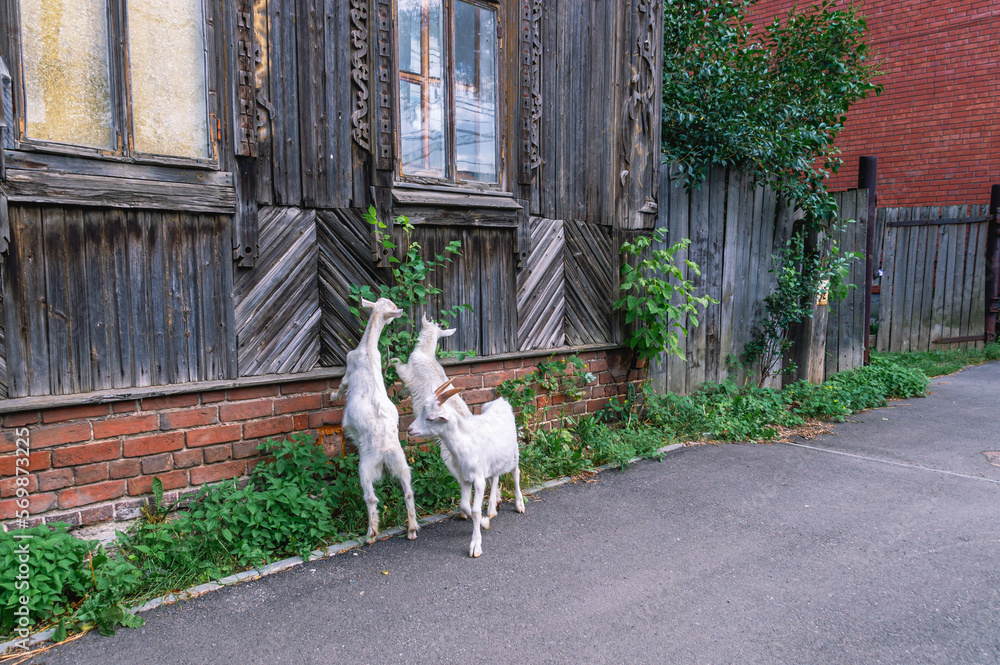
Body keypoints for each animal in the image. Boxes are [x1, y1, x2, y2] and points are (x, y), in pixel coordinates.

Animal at [333, 297, 419, 542]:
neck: (368, 348)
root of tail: (385, 450)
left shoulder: (348, 368)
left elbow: (341, 385)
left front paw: (333, 396)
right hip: (401, 463)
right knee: (408, 492)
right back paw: (411, 529)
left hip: (366, 467)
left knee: (371, 497)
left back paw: (371, 533)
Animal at [394, 315, 497, 522]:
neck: (426, 353)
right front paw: (400, 394)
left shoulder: (408, 372)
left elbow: (399, 366)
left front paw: (390, 360)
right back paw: (496, 503)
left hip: (453, 459)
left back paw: (466, 513)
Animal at [409, 380, 524, 558]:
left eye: (430, 418)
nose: (410, 429)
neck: (466, 441)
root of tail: (501, 401)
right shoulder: (465, 478)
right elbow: (464, 505)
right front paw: (485, 521)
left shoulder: (478, 479)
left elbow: (475, 510)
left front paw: (476, 545)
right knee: (495, 476)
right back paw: (492, 508)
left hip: (515, 451)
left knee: (515, 473)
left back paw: (519, 504)